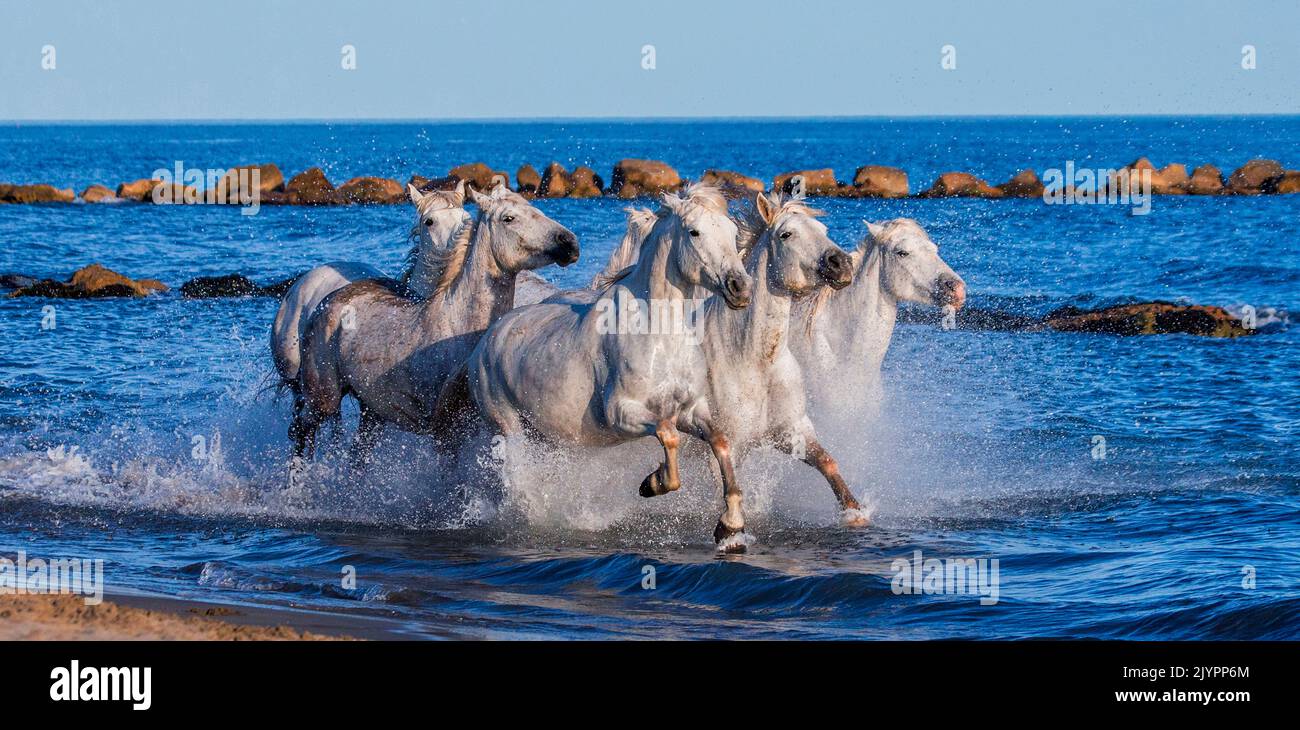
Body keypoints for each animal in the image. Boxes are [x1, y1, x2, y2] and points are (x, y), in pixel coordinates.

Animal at [292, 180, 579, 461]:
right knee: (301, 431)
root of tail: (326, 301)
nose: (570, 243)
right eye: (509, 218)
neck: (458, 325)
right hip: (323, 399)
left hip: (371, 411)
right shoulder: (445, 432)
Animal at [464, 184, 753, 549]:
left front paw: (730, 525)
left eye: (731, 231)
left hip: (547, 435)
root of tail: (488, 338)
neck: (659, 334)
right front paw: (653, 483)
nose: (740, 287)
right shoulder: (622, 414)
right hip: (508, 426)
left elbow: (720, 442)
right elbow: (668, 435)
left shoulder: (691, 410)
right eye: (694, 232)